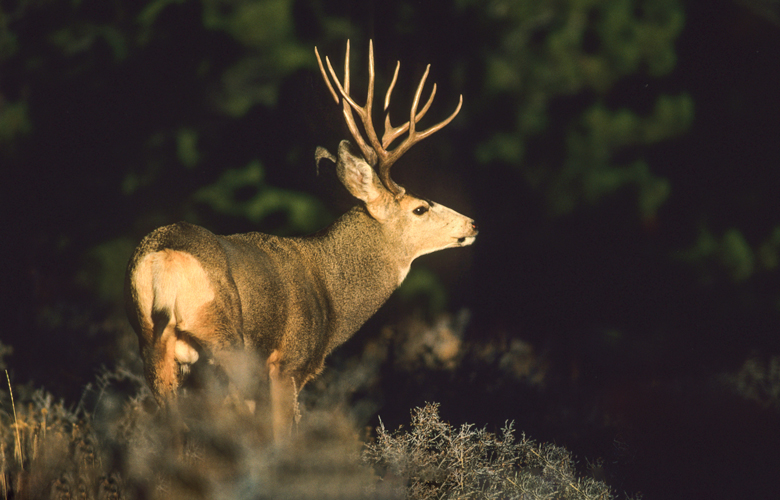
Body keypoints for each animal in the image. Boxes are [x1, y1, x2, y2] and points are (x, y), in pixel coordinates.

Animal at [124, 40, 478, 441]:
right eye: (420, 208)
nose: (472, 223)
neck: (332, 293)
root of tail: (164, 258)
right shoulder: (289, 361)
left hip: (151, 343)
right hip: (224, 338)